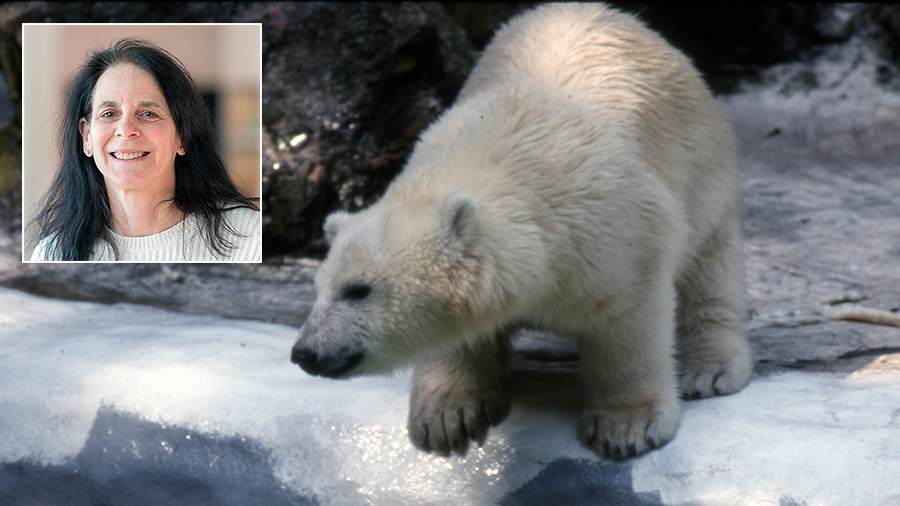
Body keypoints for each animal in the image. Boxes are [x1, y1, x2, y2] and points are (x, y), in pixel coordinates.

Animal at [291, 2, 752, 460]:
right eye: (319, 288)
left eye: (357, 290)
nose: (304, 352)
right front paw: (449, 417)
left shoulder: (618, 232)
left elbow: (628, 317)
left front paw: (625, 426)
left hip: (702, 169)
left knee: (708, 270)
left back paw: (707, 369)